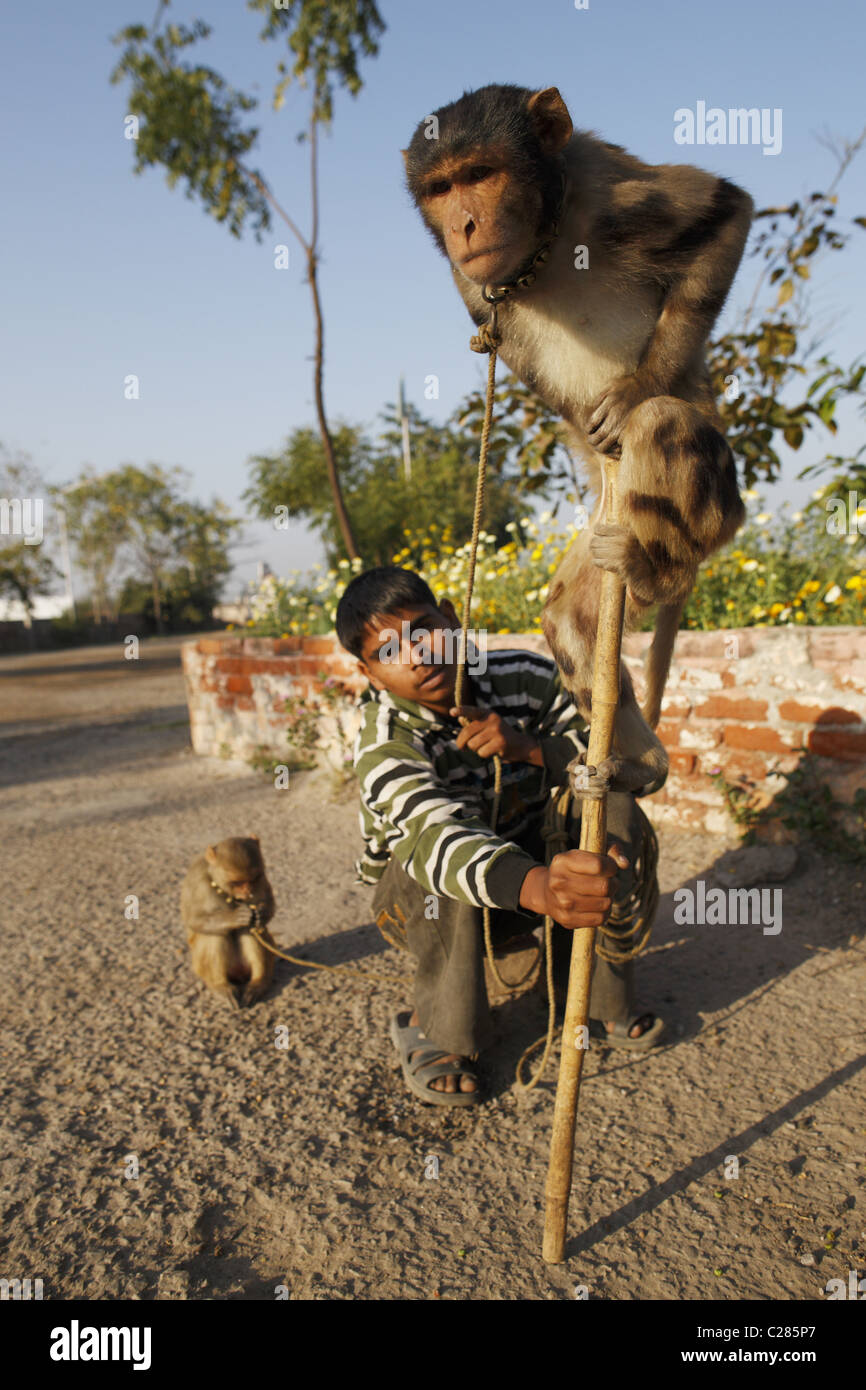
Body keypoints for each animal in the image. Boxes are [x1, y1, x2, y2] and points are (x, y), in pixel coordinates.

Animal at [180, 836, 276, 1009]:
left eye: (253, 879)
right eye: (237, 883)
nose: (248, 892)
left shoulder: (261, 877)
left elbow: (269, 903)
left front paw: (261, 914)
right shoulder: (197, 880)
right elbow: (194, 919)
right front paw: (235, 917)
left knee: (248, 930)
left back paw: (258, 983)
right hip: (200, 966)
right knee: (216, 934)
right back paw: (220, 985)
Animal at [402, 84, 750, 797]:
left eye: (480, 174)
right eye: (442, 187)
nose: (464, 226)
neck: (543, 240)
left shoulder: (608, 186)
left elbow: (723, 214)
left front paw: (633, 390)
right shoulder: (468, 281)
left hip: (718, 509)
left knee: (665, 424)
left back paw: (657, 572)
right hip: (603, 527)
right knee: (570, 621)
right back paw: (635, 765)